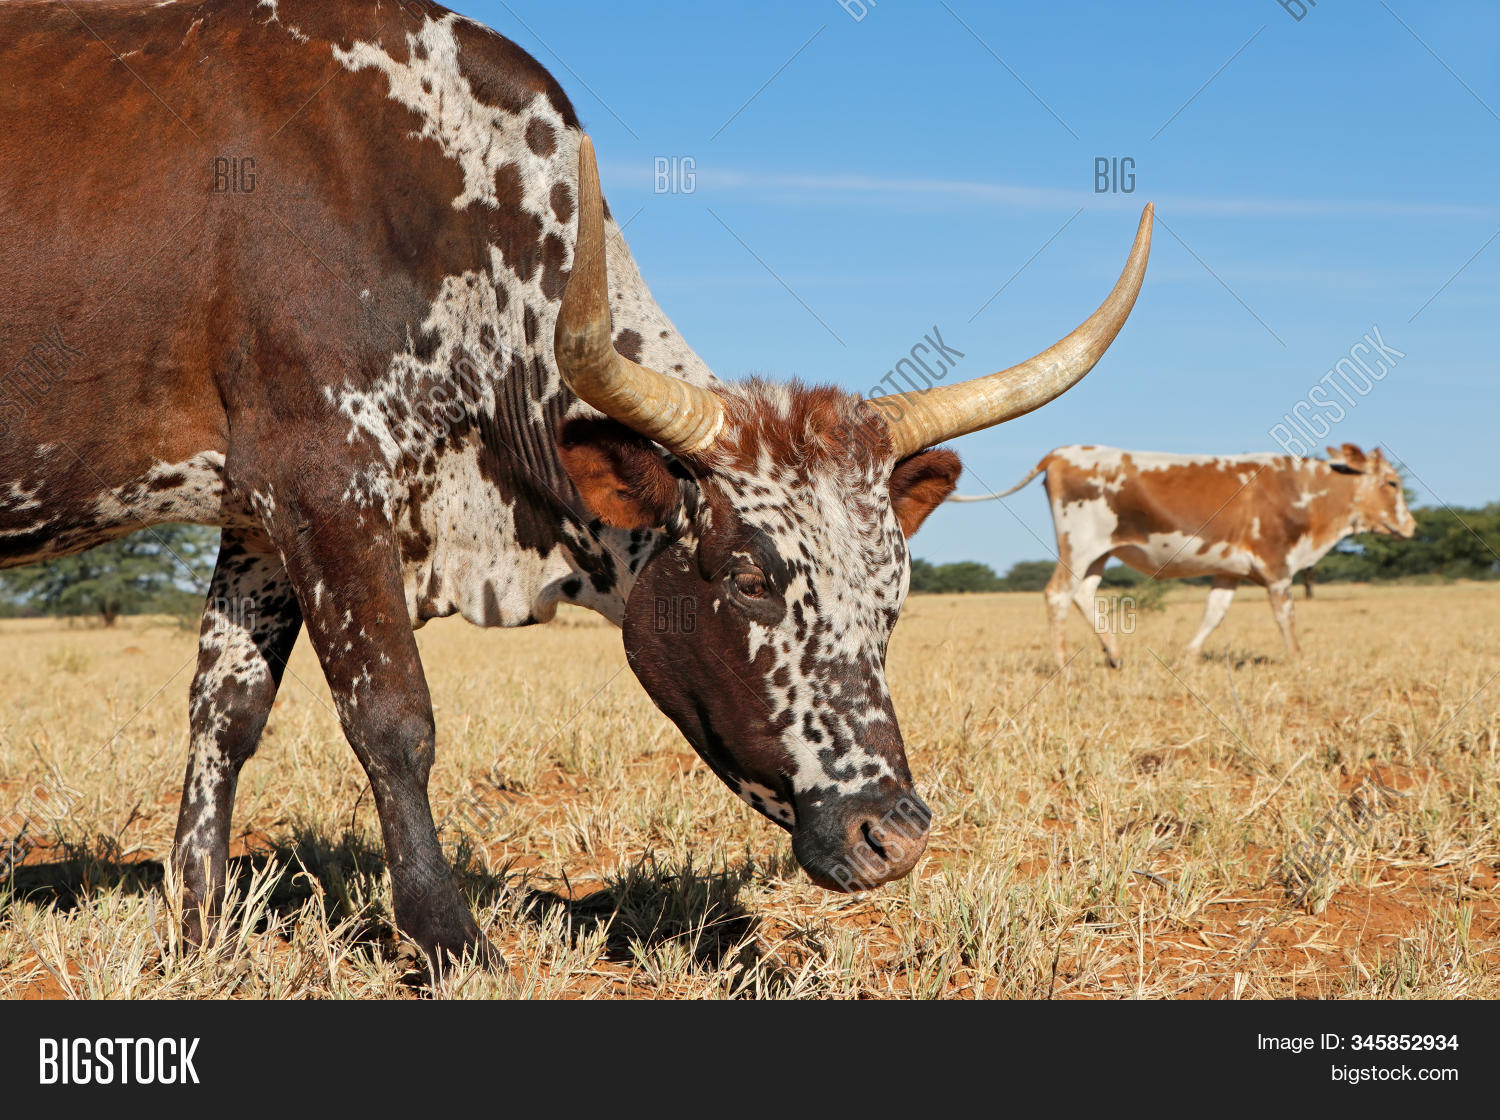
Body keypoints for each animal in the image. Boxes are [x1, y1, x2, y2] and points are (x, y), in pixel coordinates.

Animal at [0, 0, 1151, 969]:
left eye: (895, 594)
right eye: (748, 578)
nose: (892, 834)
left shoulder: (258, 516)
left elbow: (224, 714)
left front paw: (196, 929)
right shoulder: (327, 476)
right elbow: (392, 716)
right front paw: (450, 938)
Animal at [949, 443, 1414, 668]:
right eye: (1392, 482)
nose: (1412, 526)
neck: (1302, 490)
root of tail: (1063, 452)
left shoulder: (1230, 570)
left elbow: (1214, 613)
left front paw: (1189, 658)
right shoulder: (1277, 565)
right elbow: (1286, 616)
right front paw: (1298, 660)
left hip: (1099, 553)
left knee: (1083, 594)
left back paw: (1114, 655)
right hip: (1078, 545)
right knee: (1058, 594)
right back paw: (1063, 665)